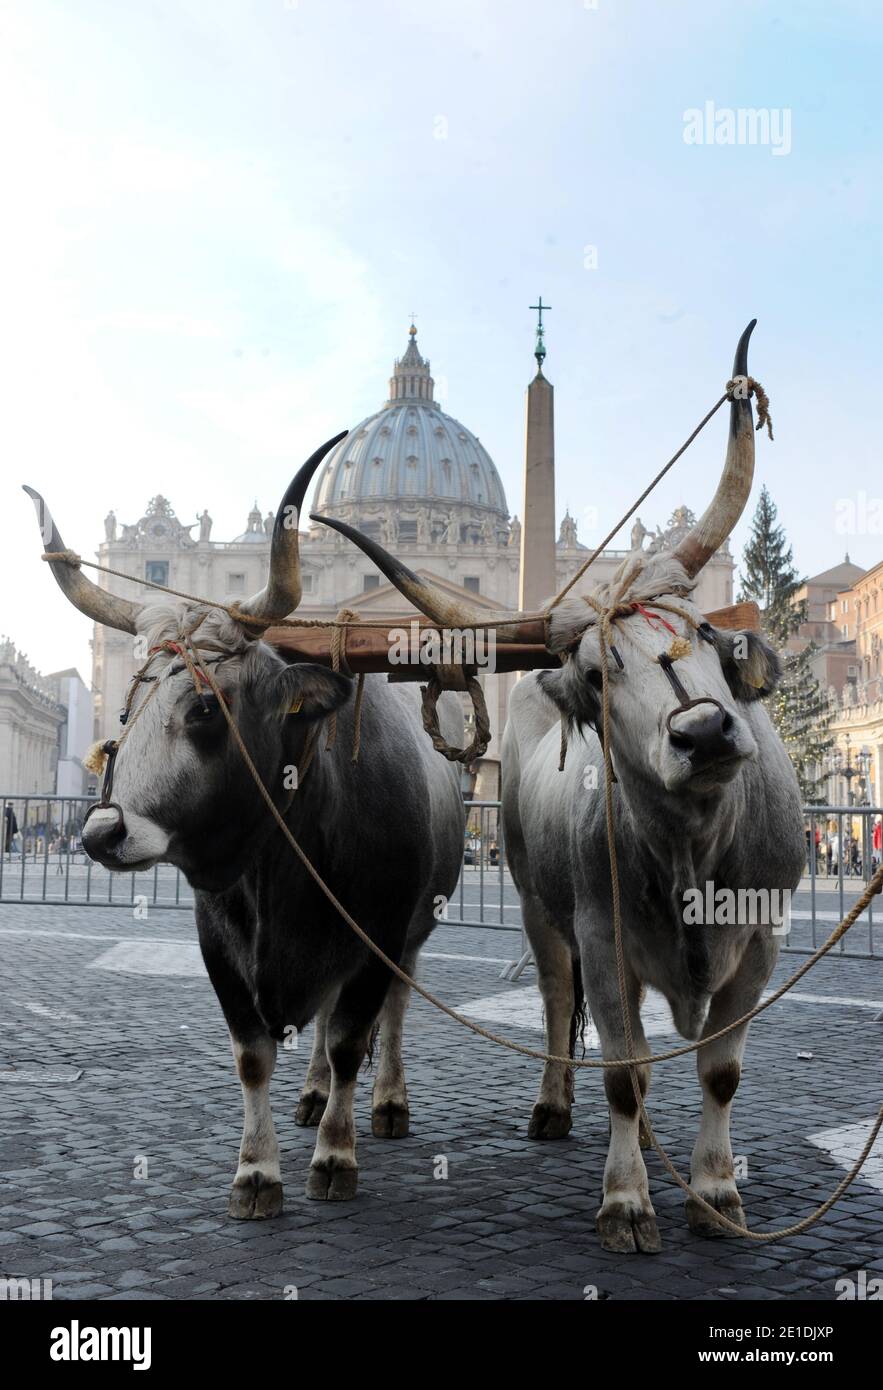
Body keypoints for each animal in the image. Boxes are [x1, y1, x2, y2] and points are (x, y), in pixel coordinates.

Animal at [26, 434, 465, 1215]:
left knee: (392, 1012)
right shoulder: (219, 942)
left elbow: (353, 1036)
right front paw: (257, 1170)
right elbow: (253, 1054)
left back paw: (384, 1102)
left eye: (205, 708)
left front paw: (335, 1156)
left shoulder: (378, 933)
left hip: (410, 932)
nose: (100, 835)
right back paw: (313, 1096)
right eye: (124, 709)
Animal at [316, 324, 806, 1254]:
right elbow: (623, 1072)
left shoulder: (758, 948)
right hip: (542, 906)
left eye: (702, 633)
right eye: (596, 671)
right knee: (550, 997)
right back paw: (550, 1108)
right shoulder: (600, 936)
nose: (702, 734)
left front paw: (715, 1193)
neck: (690, 842)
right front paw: (626, 1202)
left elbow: (719, 1074)